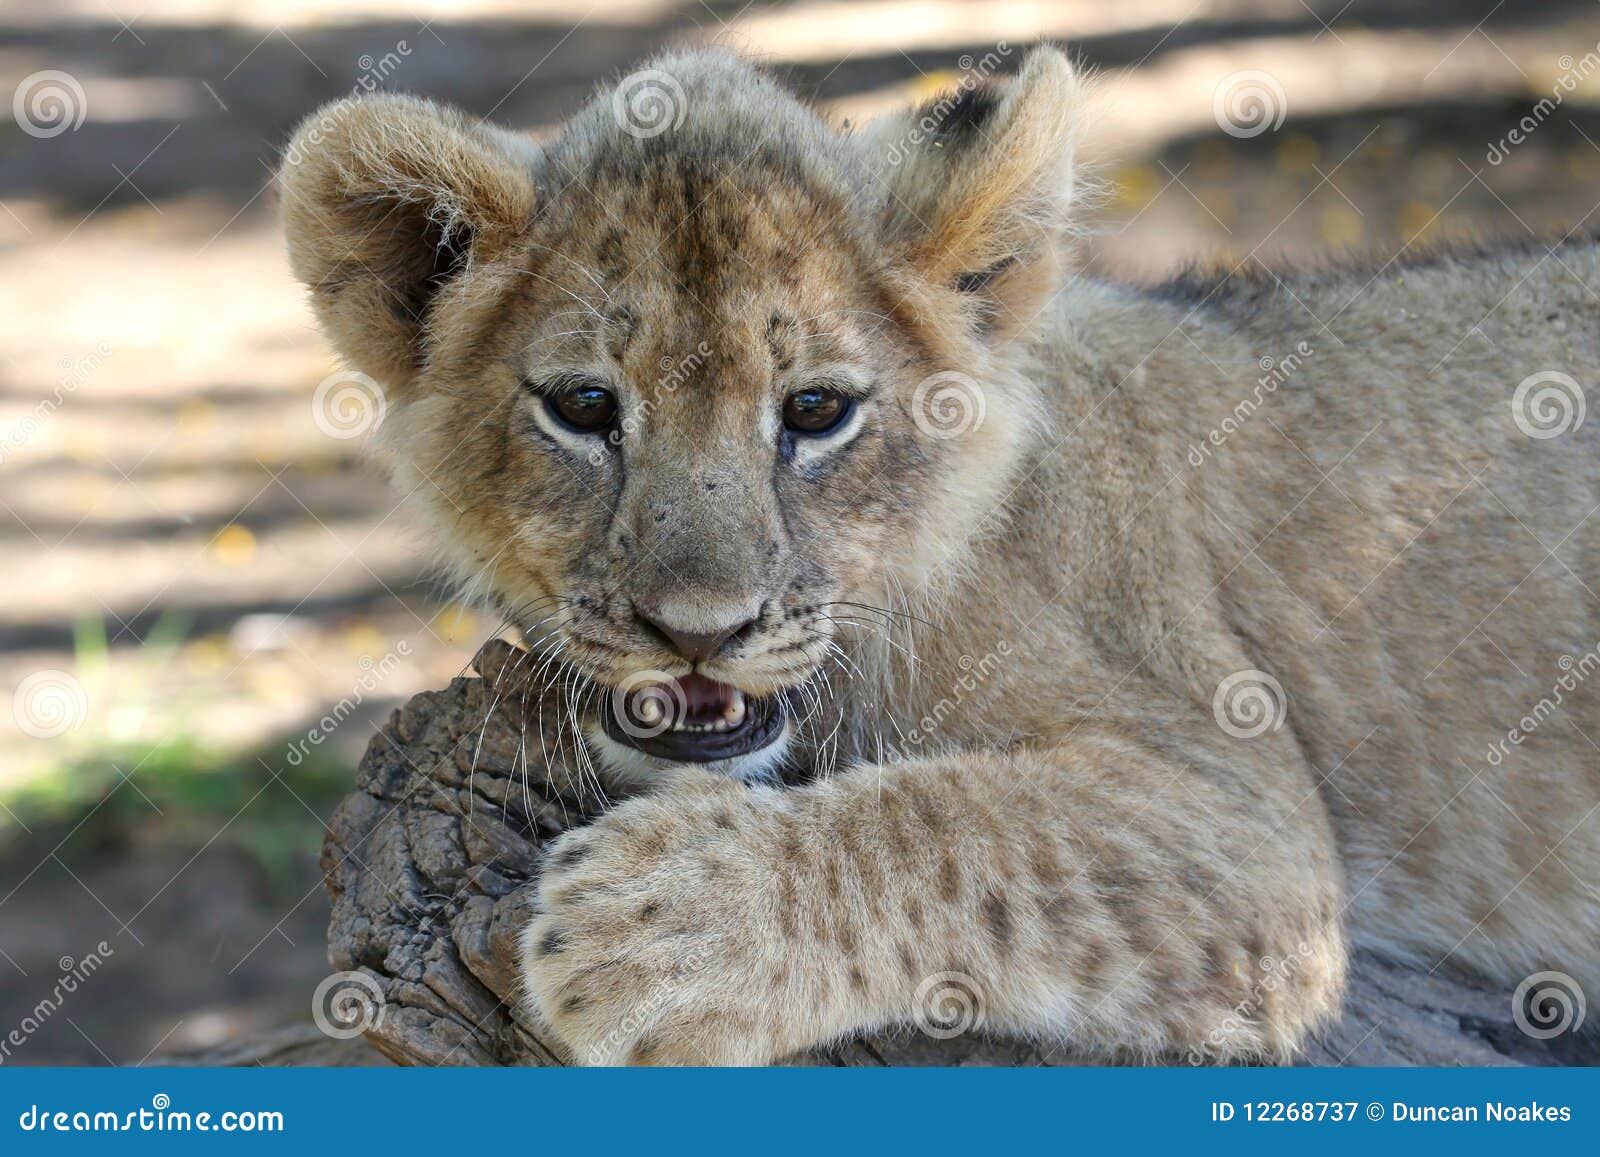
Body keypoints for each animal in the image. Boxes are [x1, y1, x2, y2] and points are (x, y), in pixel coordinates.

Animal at [279, 46, 1599, 1065]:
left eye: (816, 411)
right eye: (583, 407)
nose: (699, 629)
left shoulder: (1251, 814)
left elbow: (958, 823)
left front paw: (661, 928)